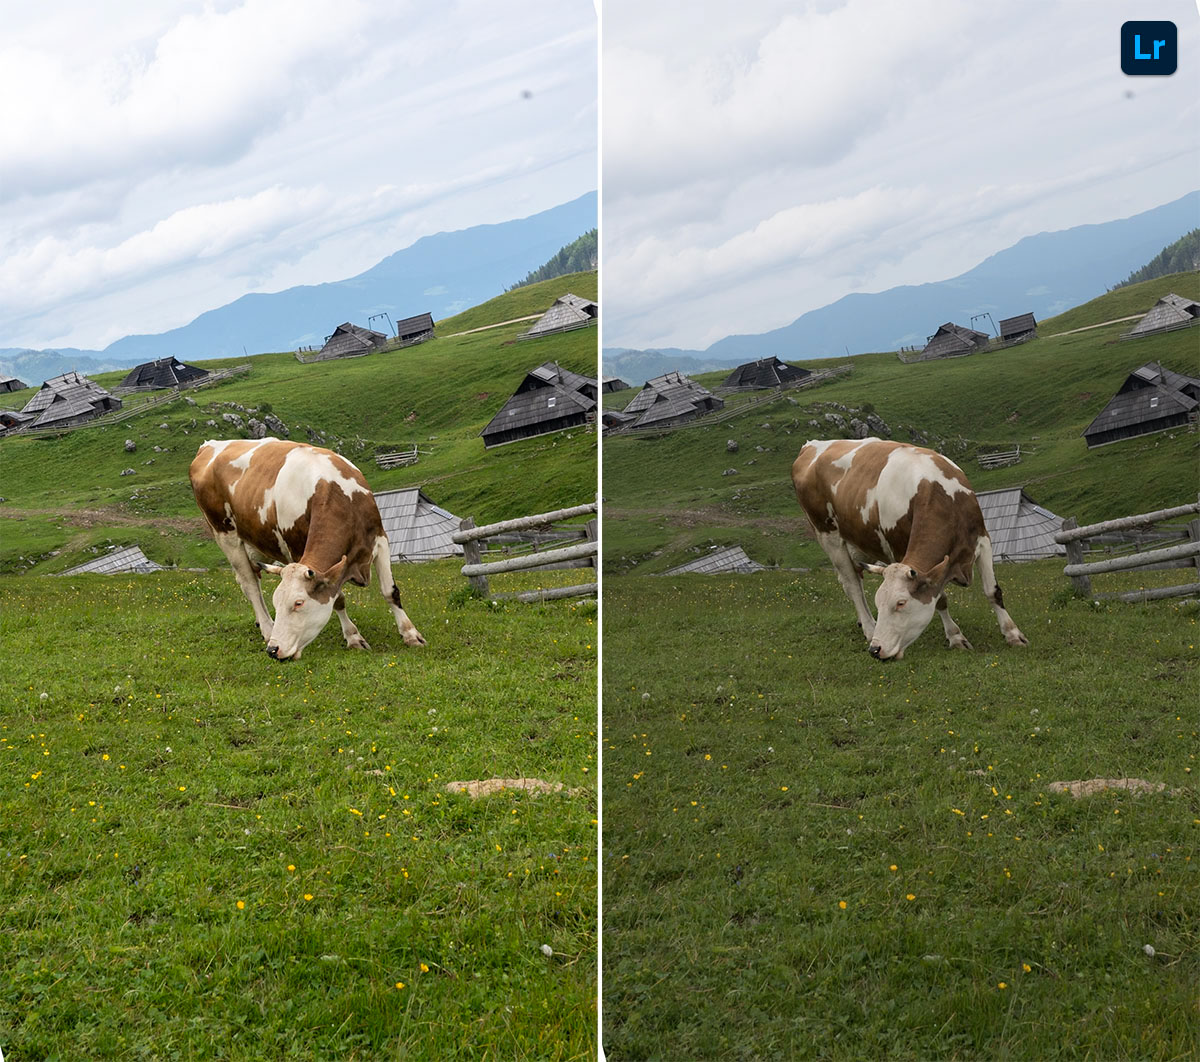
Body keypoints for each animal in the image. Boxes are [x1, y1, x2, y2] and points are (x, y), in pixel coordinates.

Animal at [189, 438, 426, 661]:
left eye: (298, 603)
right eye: (278, 602)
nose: (273, 650)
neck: (333, 491)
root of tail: (209, 445)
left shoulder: (379, 539)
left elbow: (390, 591)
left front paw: (411, 635)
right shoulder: (298, 551)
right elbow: (338, 599)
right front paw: (353, 637)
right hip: (225, 535)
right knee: (250, 584)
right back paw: (267, 627)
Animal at [791, 438, 1028, 661]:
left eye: (900, 603)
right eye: (880, 602)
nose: (875, 650)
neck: (935, 492)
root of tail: (811, 445)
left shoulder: (982, 540)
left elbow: (992, 591)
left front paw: (1013, 634)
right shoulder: (900, 551)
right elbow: (940, 599)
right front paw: (955, 637)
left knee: (853, 581)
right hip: (828, 536)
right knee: (853, 586)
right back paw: (869, 627)